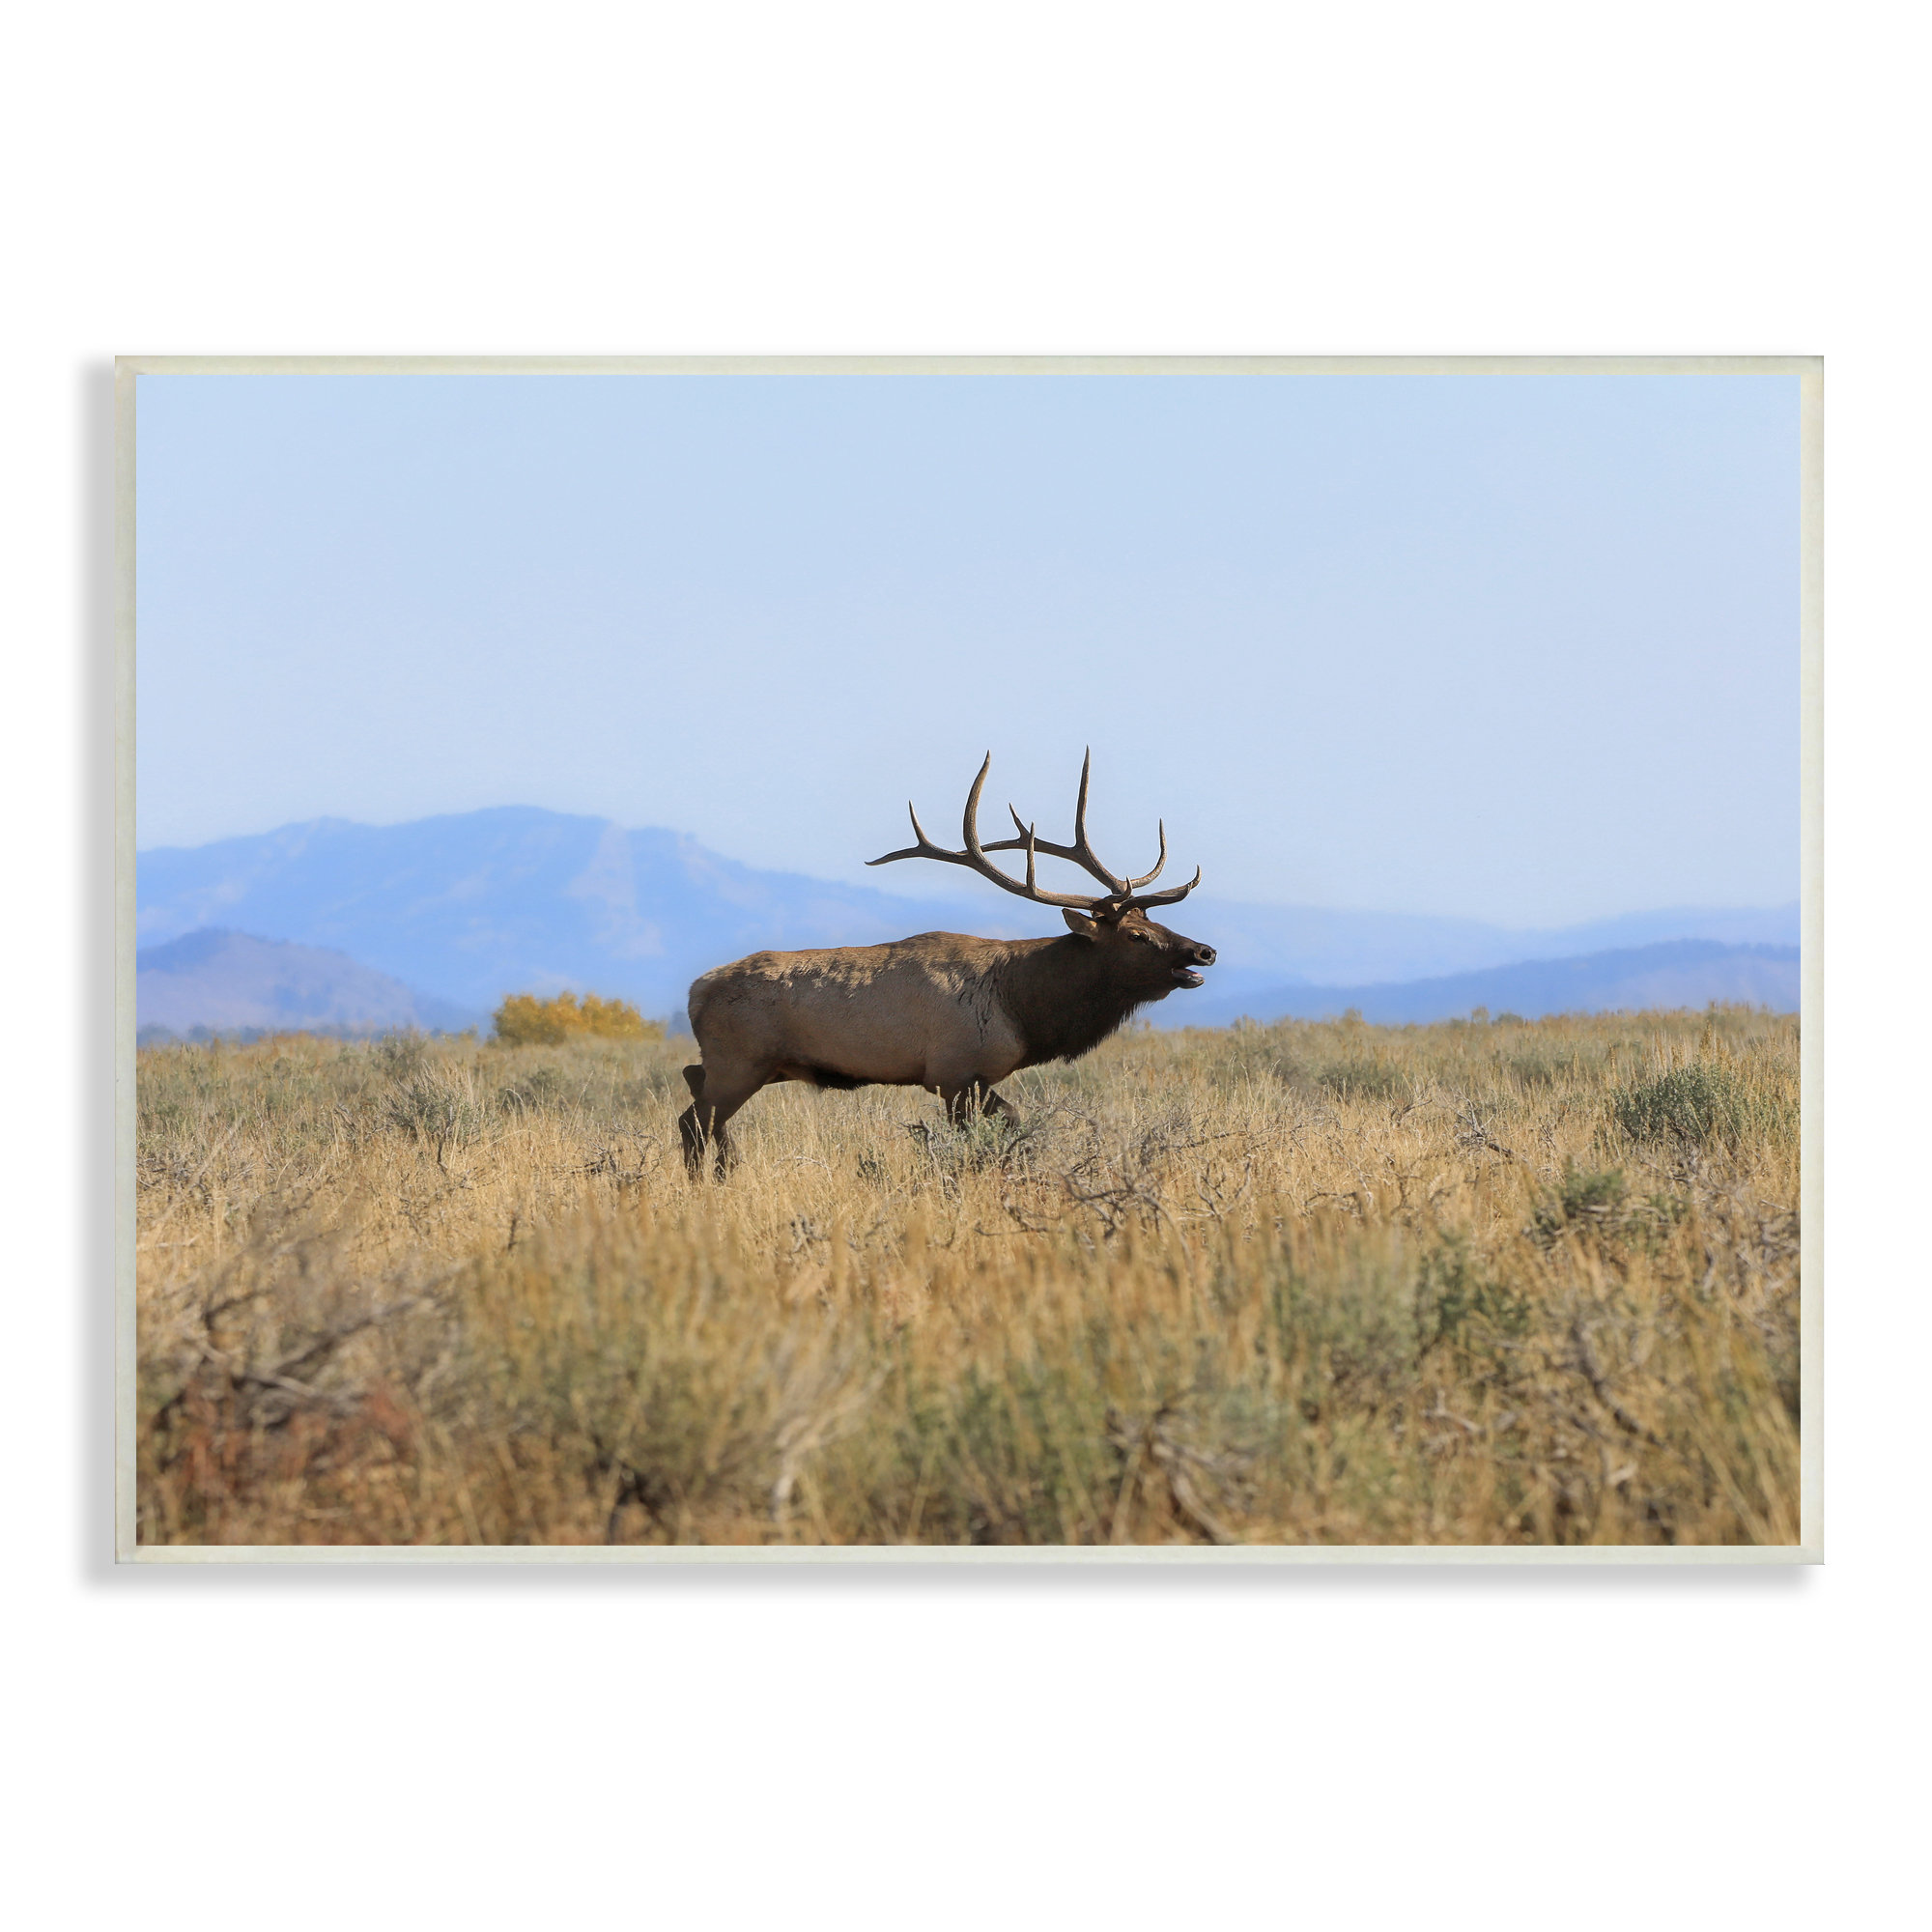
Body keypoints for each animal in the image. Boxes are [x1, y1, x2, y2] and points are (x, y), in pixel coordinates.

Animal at [676, 752, 1216, 1177]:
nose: (1203, 952)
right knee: (694, 1121)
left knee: (693, 1087)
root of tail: (695, 991)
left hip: (754, 1066)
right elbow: (1001, 1130)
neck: (1025, 1009)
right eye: (1137, 935)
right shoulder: (953, 1072)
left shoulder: (970, 1078)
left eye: (1155, 922)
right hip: (740, 1060)